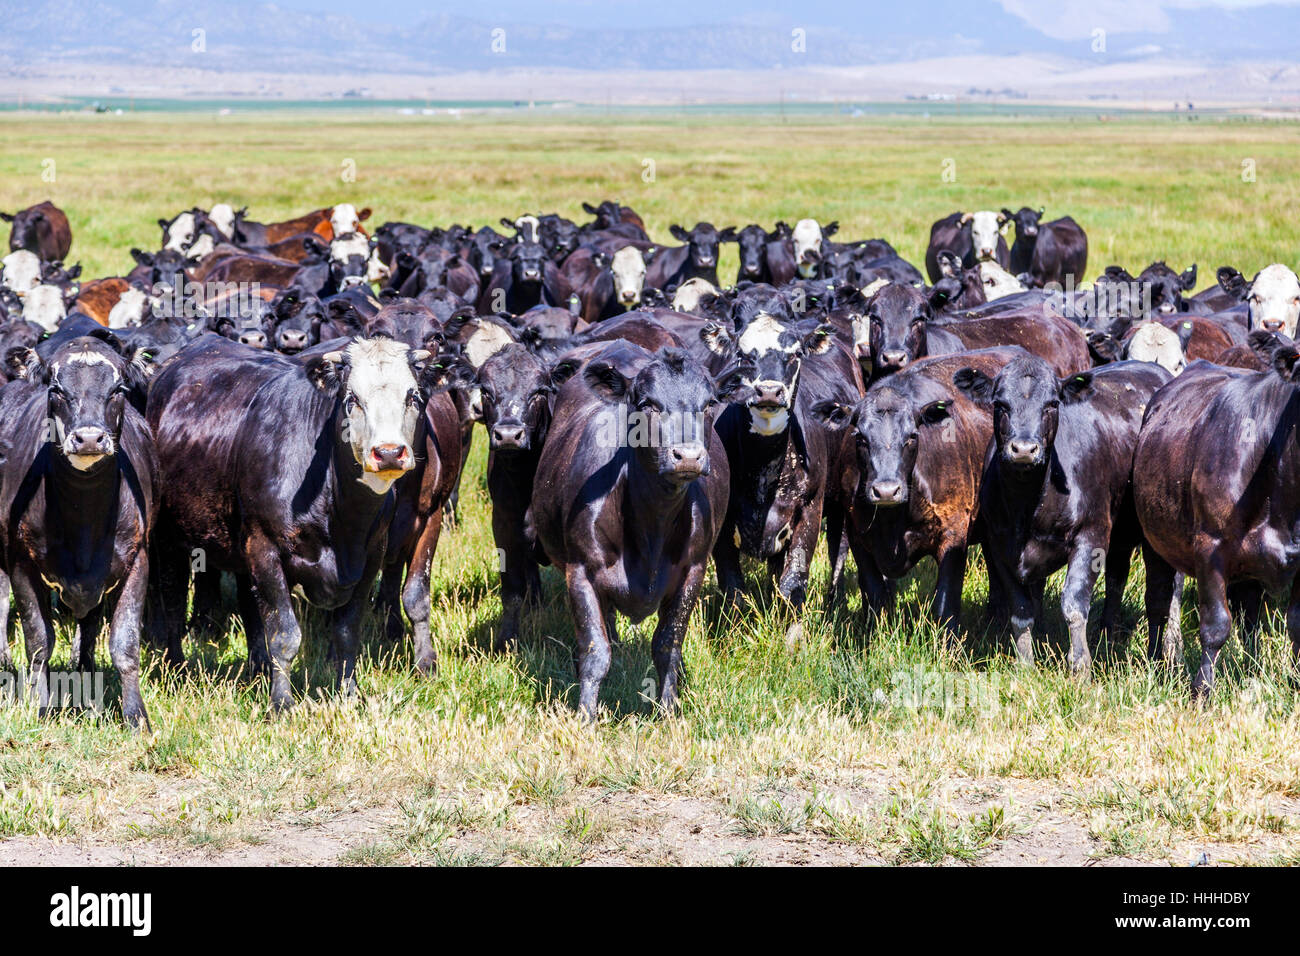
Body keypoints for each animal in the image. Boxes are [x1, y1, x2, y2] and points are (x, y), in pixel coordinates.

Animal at [0, 335, 157, 728]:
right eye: (56, 389)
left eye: (118, 389)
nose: (88, 439)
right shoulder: (22, 562)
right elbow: (39, 640)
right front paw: (40, 707)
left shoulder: (137, 560)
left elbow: (124, 643)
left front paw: (137, 717)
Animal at [146, 333, 454, 708]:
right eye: (352, 399)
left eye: (413, 396)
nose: (389, 452)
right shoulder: (265, 549)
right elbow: (285, 634)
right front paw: (281, 704)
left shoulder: (371, 557)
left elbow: (347, 632)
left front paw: (349, 696)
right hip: (169, 538)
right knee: (173, 602)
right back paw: (176, 668)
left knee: (249, 608)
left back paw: (258, 667)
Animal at [529, 343, 740, 718]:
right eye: (647, 404)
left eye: (709, 403)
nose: (688, 456)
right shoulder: (580, 570)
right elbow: (595, 651)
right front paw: (585, 716)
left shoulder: (693, 571)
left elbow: (668, 645)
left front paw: (669, 710)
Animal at [952, 356, 1173, 670]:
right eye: (1000, 404)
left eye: (1052, 404)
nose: (1024, 449)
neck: (1028, 506)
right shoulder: (999, 546)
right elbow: (1021, 610)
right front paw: (1025, 665)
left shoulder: (1091, 535)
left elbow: (1074, 604)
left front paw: (1080, 666)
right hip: (1120, 532)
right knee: (1117, 580)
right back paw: (1107, 635)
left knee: (1161, 596)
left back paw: (1160, 654)